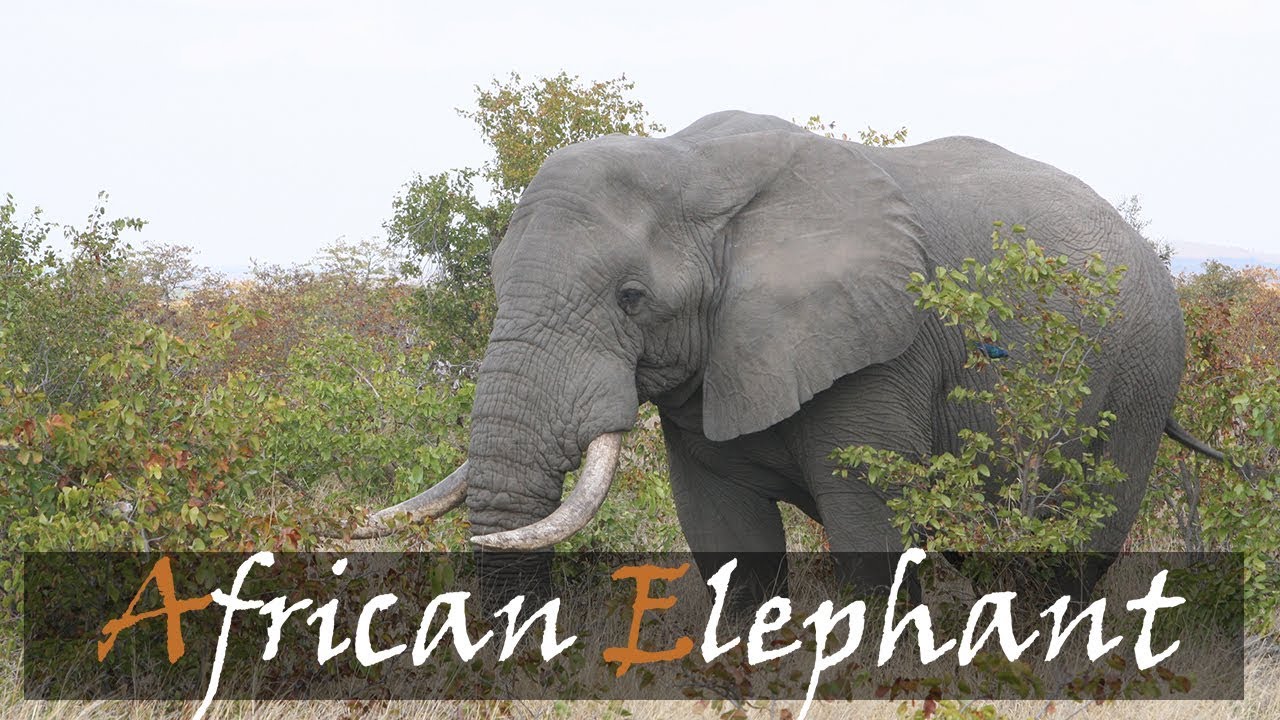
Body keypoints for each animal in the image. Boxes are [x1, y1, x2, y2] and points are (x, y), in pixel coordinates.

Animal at [349, 110, 1221, 601]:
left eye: (631, 298)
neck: (697, 170)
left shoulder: (884, 349)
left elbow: (871, 531)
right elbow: (725, 536)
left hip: (1139, 376)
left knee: (1075, 544)